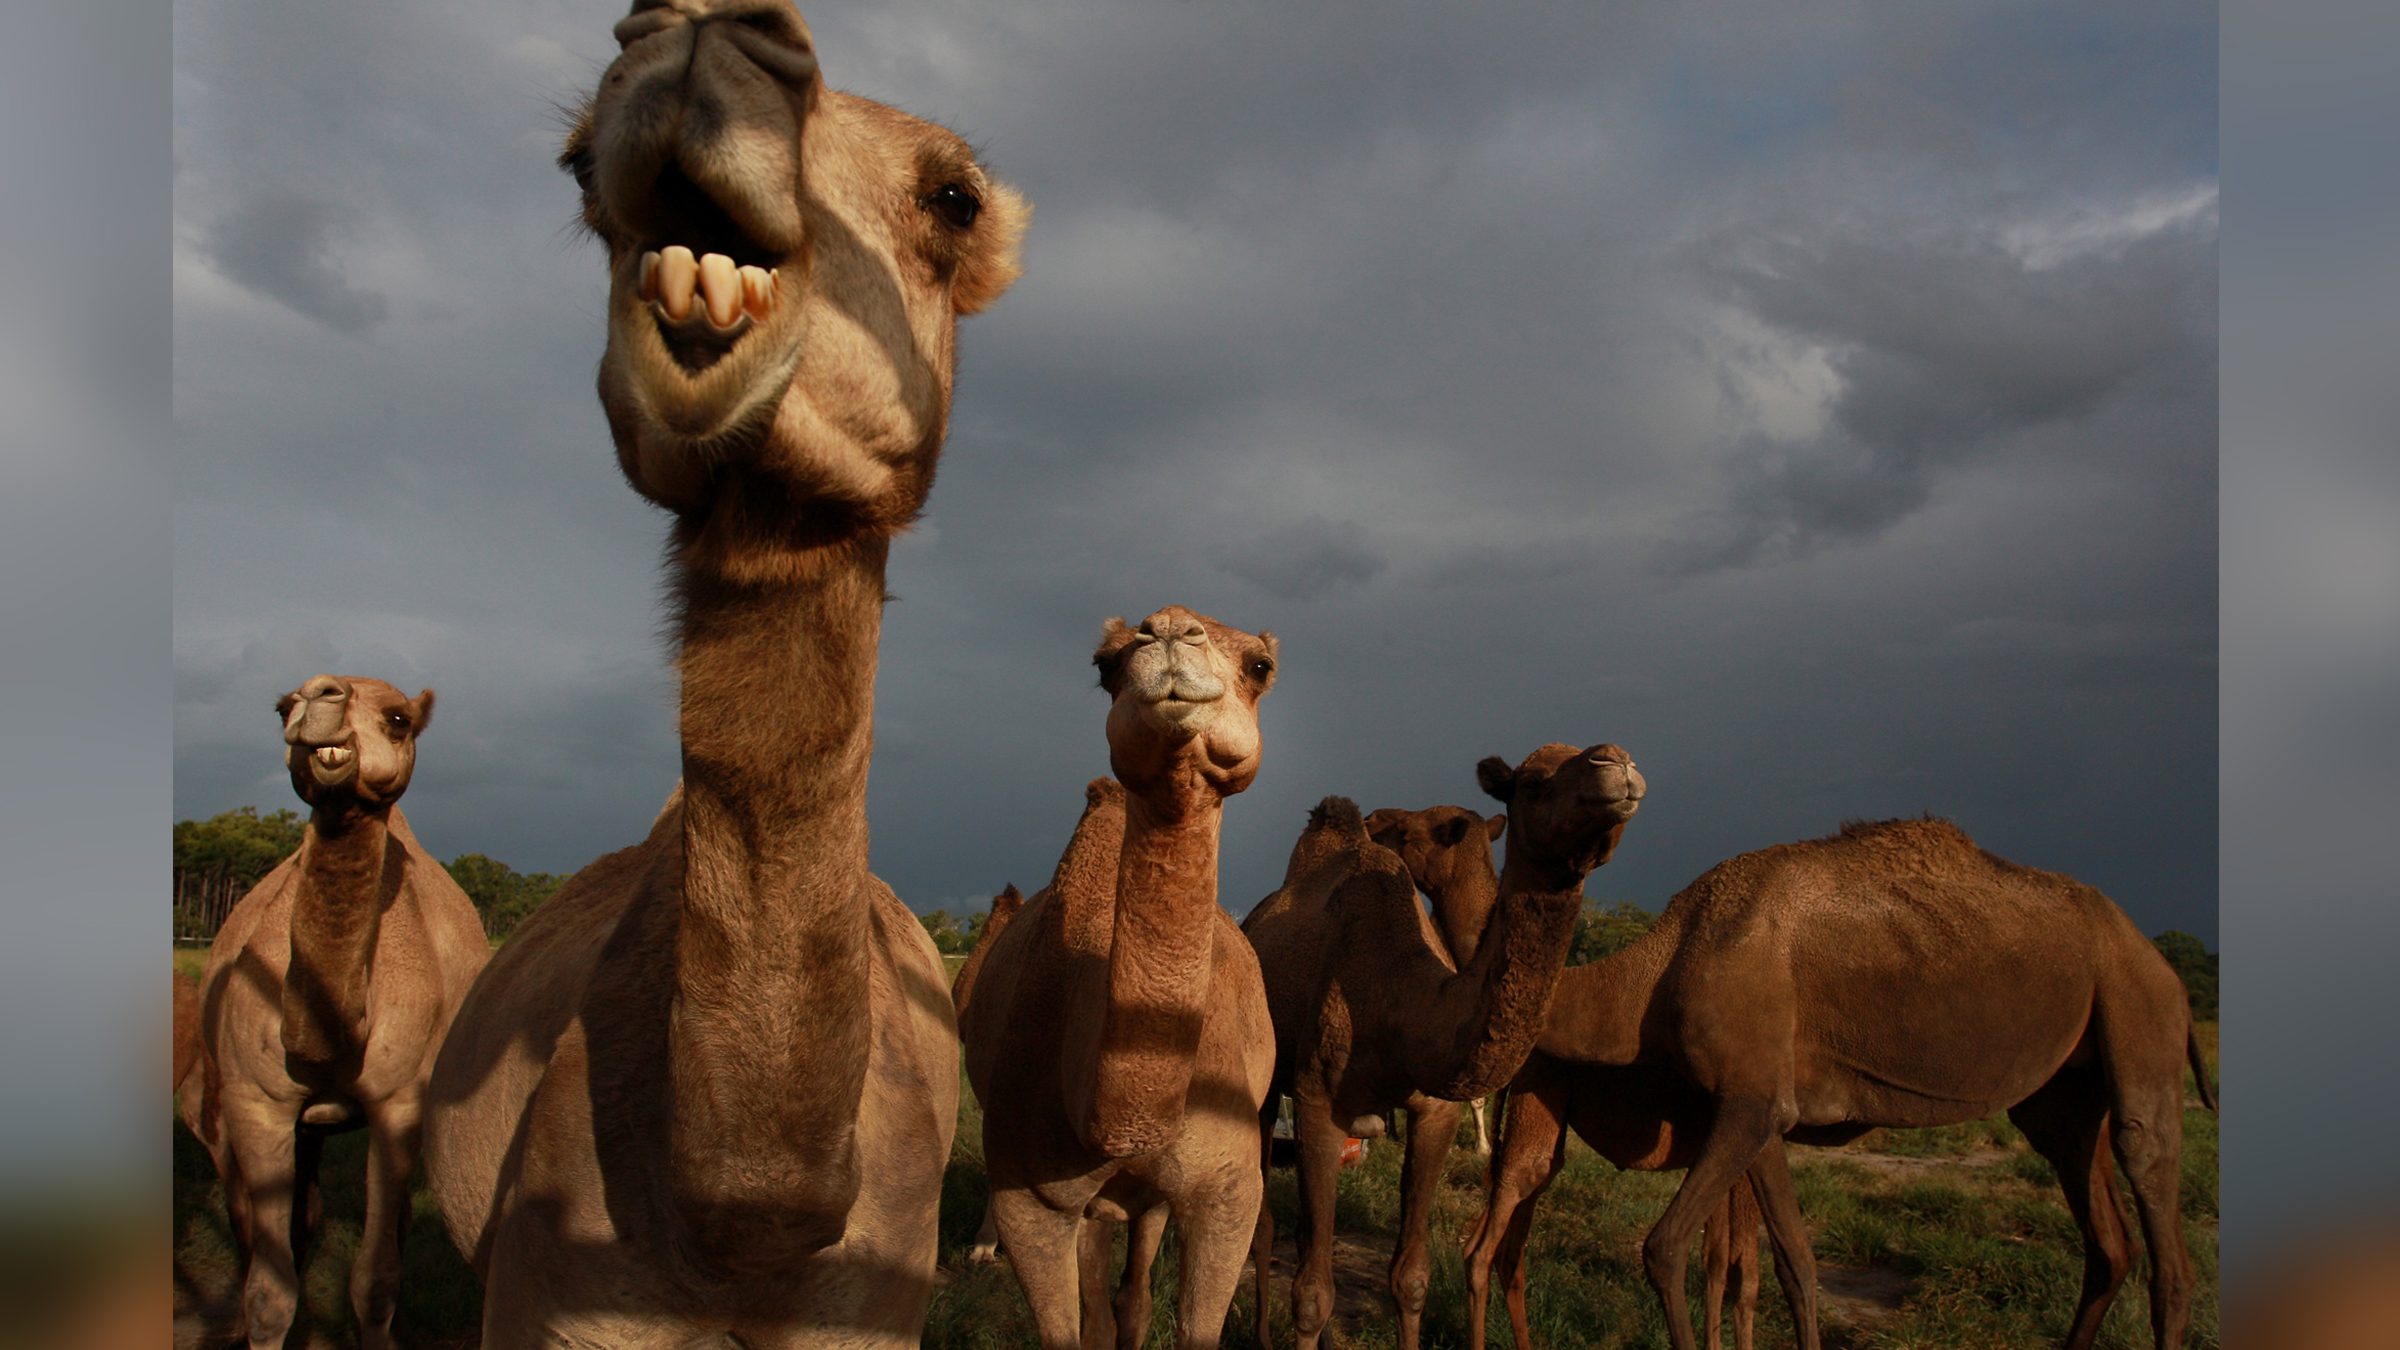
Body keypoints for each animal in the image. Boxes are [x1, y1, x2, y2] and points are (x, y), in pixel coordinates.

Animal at [177, 675, 489, 1350]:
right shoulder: (257, 1102)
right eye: (280, 708)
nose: (320, 697)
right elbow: (269, 1290)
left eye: (398, 719)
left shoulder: (399, 1103)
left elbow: (375, 1282)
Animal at [955, 607, 1282, 1350]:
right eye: (1106, 665)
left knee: (1132, 1290)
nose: (1171, 632)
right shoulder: (1034, 1197)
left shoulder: (1229, 1188)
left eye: (1260, 666)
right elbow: (1070, 1326)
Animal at [1242, 743, 1646, 1350]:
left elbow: (1410, 1276)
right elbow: (1311, 1293)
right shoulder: (1317, 1101)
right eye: (1533, 781)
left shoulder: (1434, 1111)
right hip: (1266, 1080)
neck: (1400, 1000)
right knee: (1263, 1221)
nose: (1617, 764)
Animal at [1525, 816, 2217, 1350]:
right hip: (2066, 1085)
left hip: (2138, 1006)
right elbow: (1796, 1262)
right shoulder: (1758, 1100)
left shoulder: (1750, 1094)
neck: (1657, 970)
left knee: (2152, 1186)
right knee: (2102, 1229)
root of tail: (2159, 963)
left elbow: (1664, 1246)